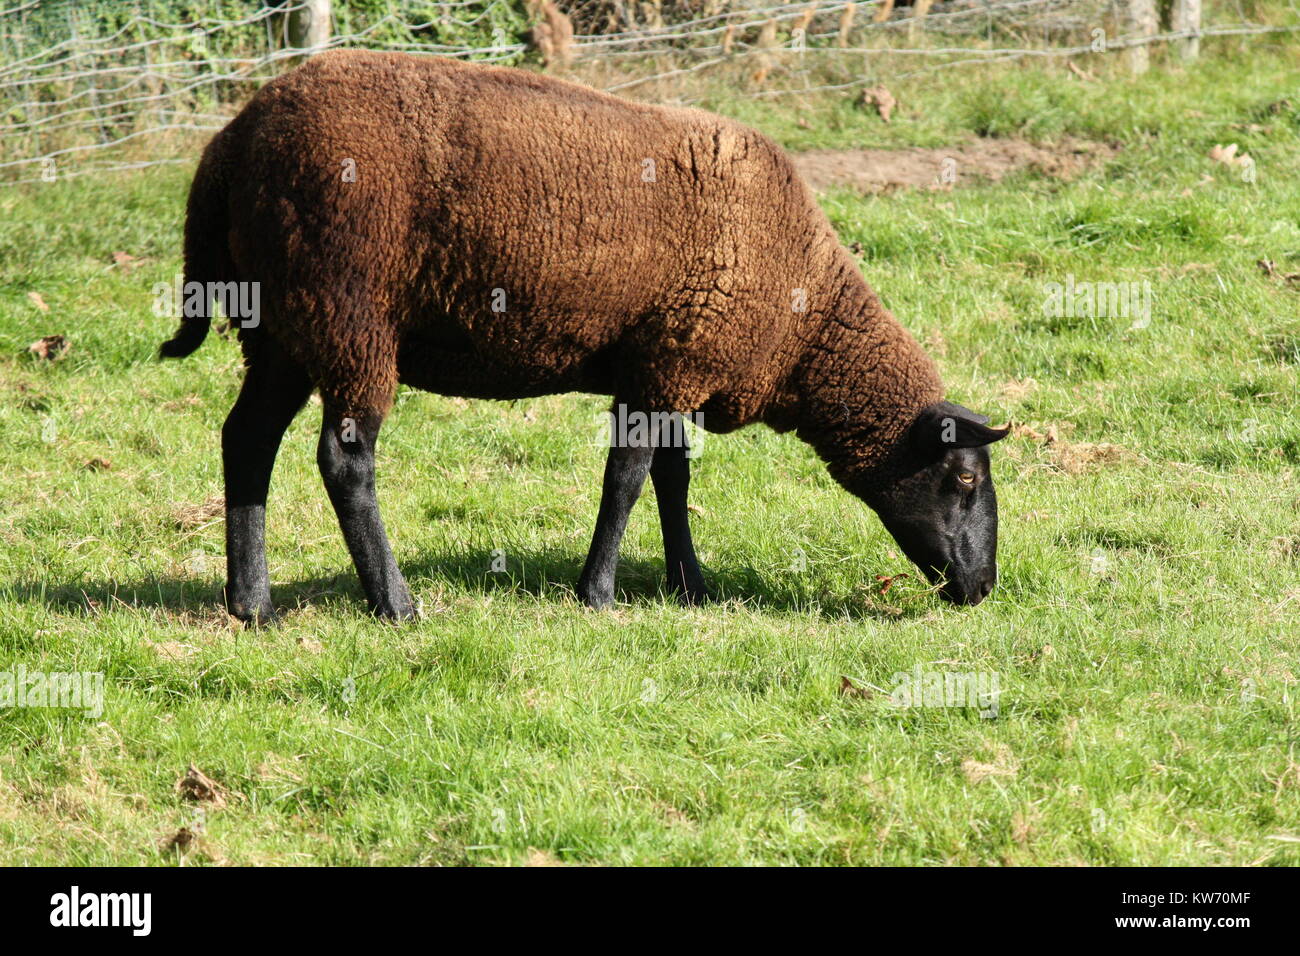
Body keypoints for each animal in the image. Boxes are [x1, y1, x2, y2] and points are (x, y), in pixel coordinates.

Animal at [160, 50, 1009, 622]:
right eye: (965, 479)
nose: (984, 590)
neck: (804, 322)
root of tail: (231, 144)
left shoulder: (672, 364)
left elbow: (672, 478)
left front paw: (690, 585)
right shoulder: (669, 366)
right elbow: (628, 477)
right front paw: (597, 592)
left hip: (281, 325)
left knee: (247, 438)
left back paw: (252, 603)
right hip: (347, 310)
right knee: (344, 460)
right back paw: (394, 603)